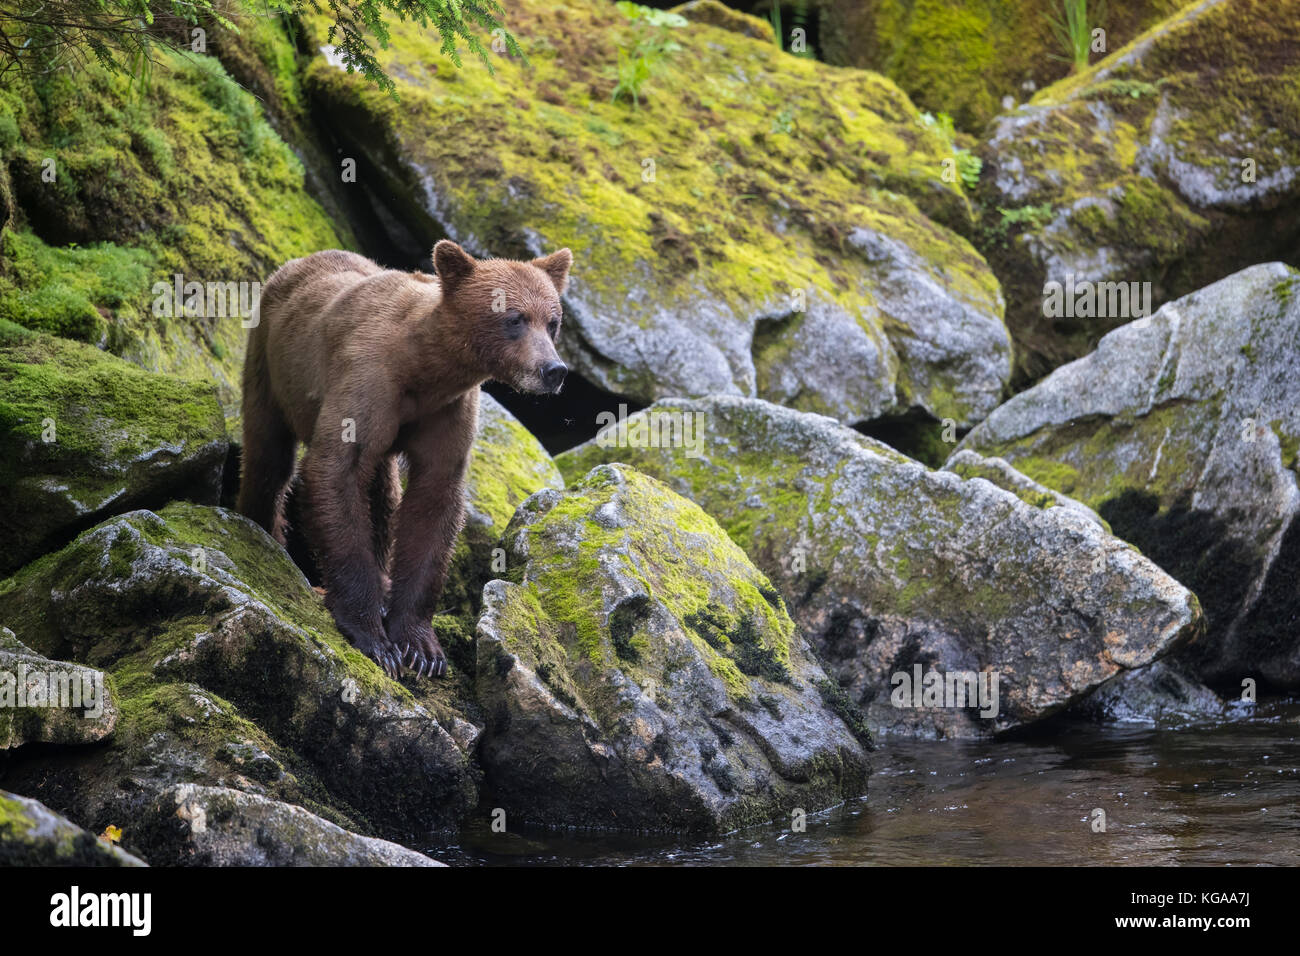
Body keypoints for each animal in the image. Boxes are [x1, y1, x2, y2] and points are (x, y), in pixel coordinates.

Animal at [237, 240, 572, 677]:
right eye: (515, 318)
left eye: (553, 322)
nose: (553, 370)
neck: (425, 367)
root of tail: (300, 261)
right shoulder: (369, 381)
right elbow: (336, 469)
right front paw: (373, 638)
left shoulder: (449, 411)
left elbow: (433, 499)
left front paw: (420, 646)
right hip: (269, 362)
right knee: (269, 459)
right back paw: (263, 532)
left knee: (382, 494)